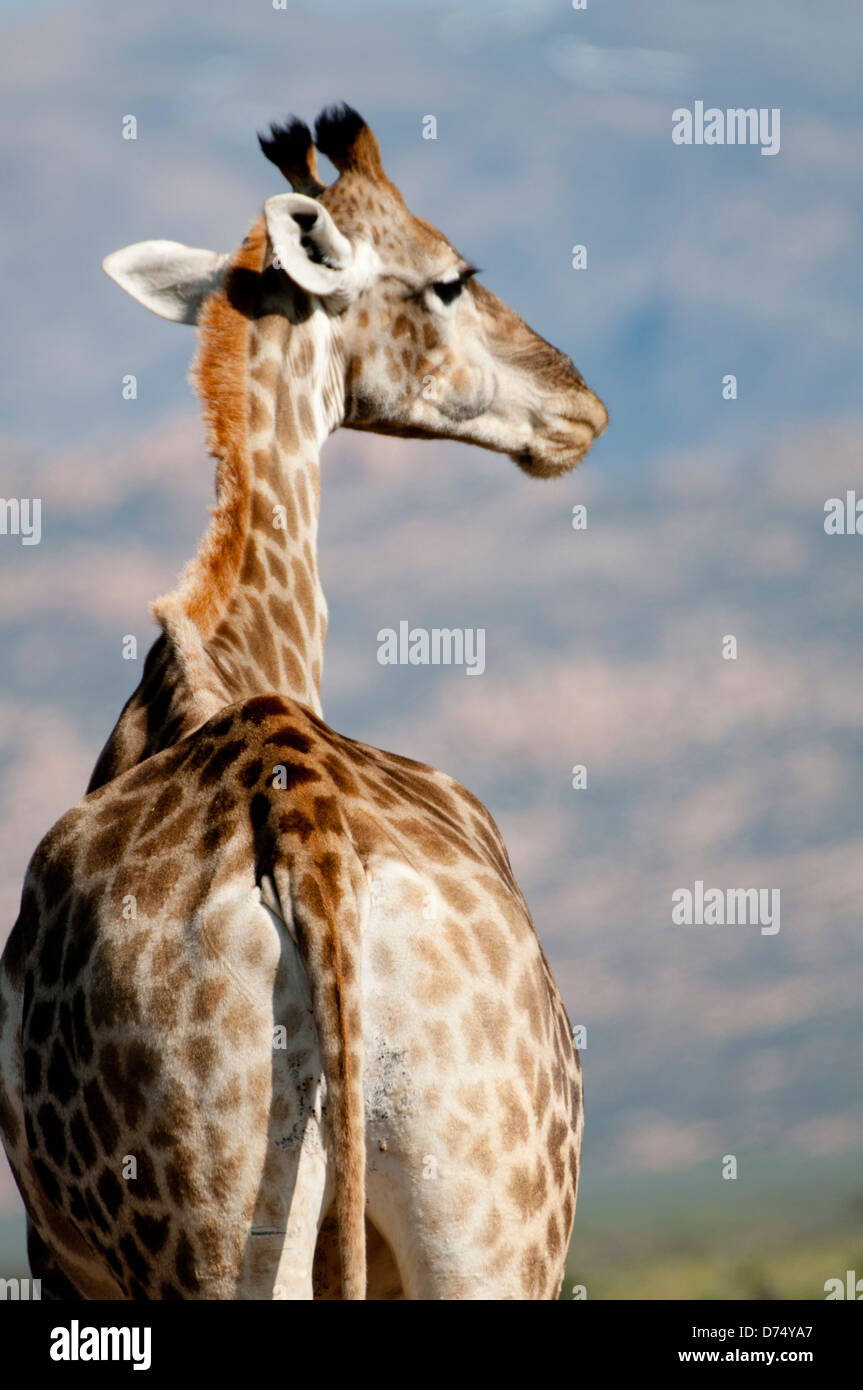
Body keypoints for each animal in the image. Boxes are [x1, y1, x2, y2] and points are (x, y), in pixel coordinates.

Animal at [0, 106, 607, 1300]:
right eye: (451, 277)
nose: (579, 404)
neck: (235, 660)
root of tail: (309, 836)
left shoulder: (61, 1253)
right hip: (487, 1221)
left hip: (222, 1233)